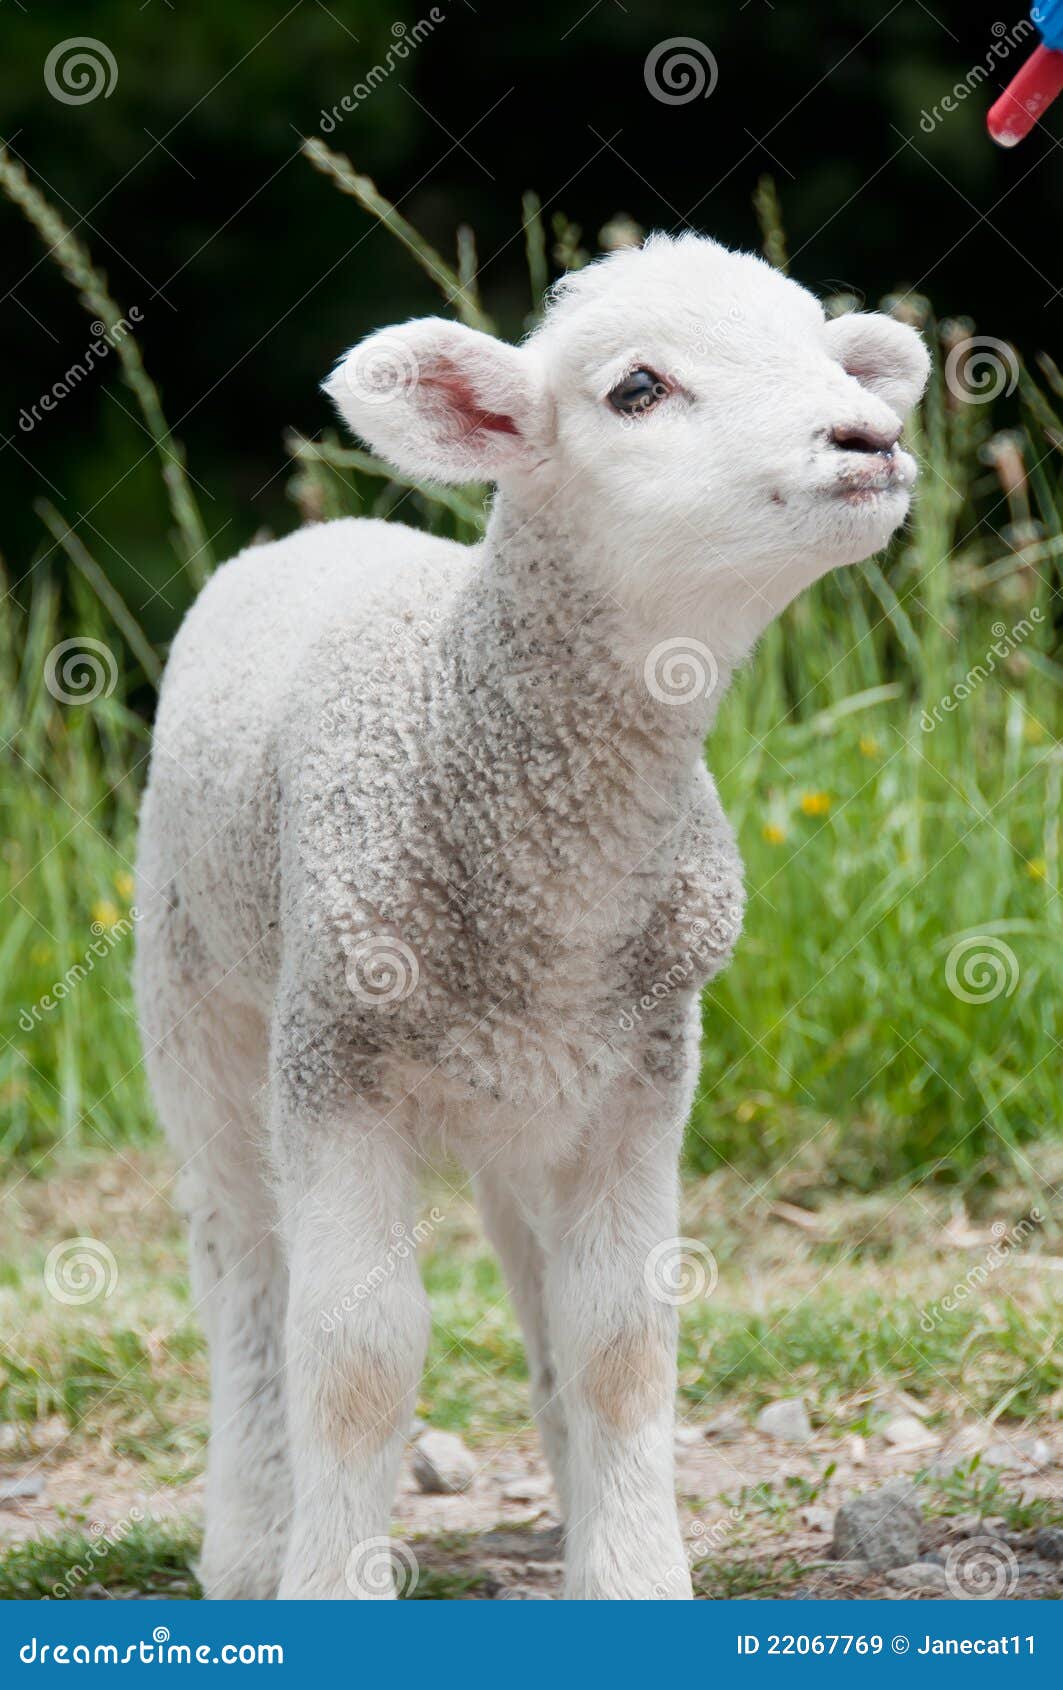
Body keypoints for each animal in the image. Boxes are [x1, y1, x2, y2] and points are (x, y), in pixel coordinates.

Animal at [134, 232, 929, 1601]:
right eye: (637, 390)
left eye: (824, 353)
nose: (867, 435)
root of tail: (320, 535)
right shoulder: (333, 1059)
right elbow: (356, 1355)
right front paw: (329, 1578)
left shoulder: (642, 1068)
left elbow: (618, 1337)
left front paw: (634, 1574)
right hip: (196, 1003)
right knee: (239, 1262)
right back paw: (248, 1539)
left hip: (520, 1094)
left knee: (527, 1271)